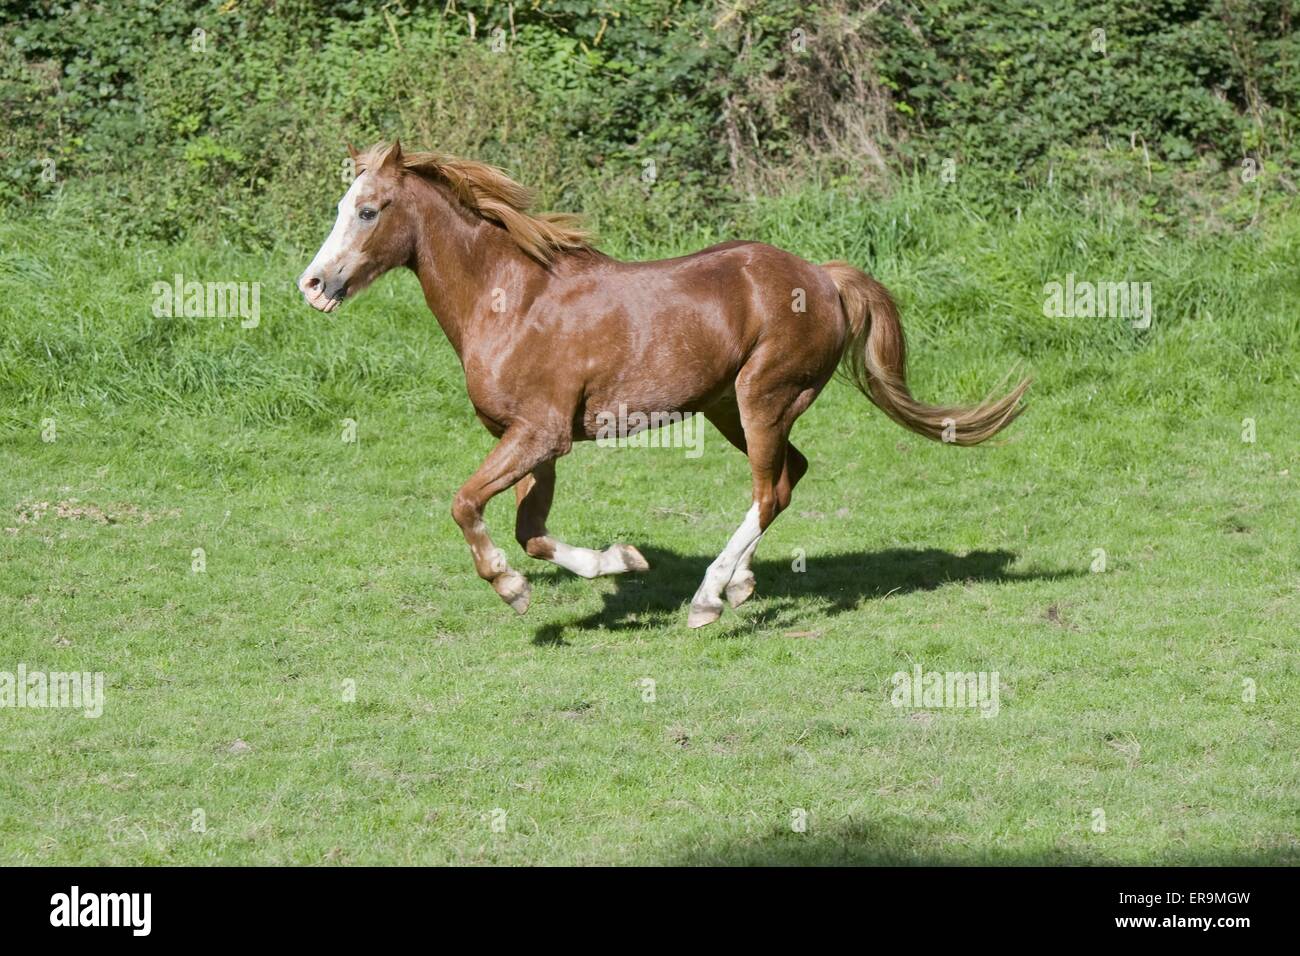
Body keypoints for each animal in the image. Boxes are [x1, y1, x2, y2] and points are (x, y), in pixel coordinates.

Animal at [298, 141, 1029, 628]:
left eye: (368, 211)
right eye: (340, 205)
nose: (313, 284)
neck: (510, 300)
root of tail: (823, 277)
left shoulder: (539, 434)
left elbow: (466, 505)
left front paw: (511, 587)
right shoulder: (535, 441)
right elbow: (531, 530)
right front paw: (622, 562)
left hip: (763, 399)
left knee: (769, 490)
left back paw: (708, 599)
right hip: (730, 409)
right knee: (789, 477)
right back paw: (740, 585)